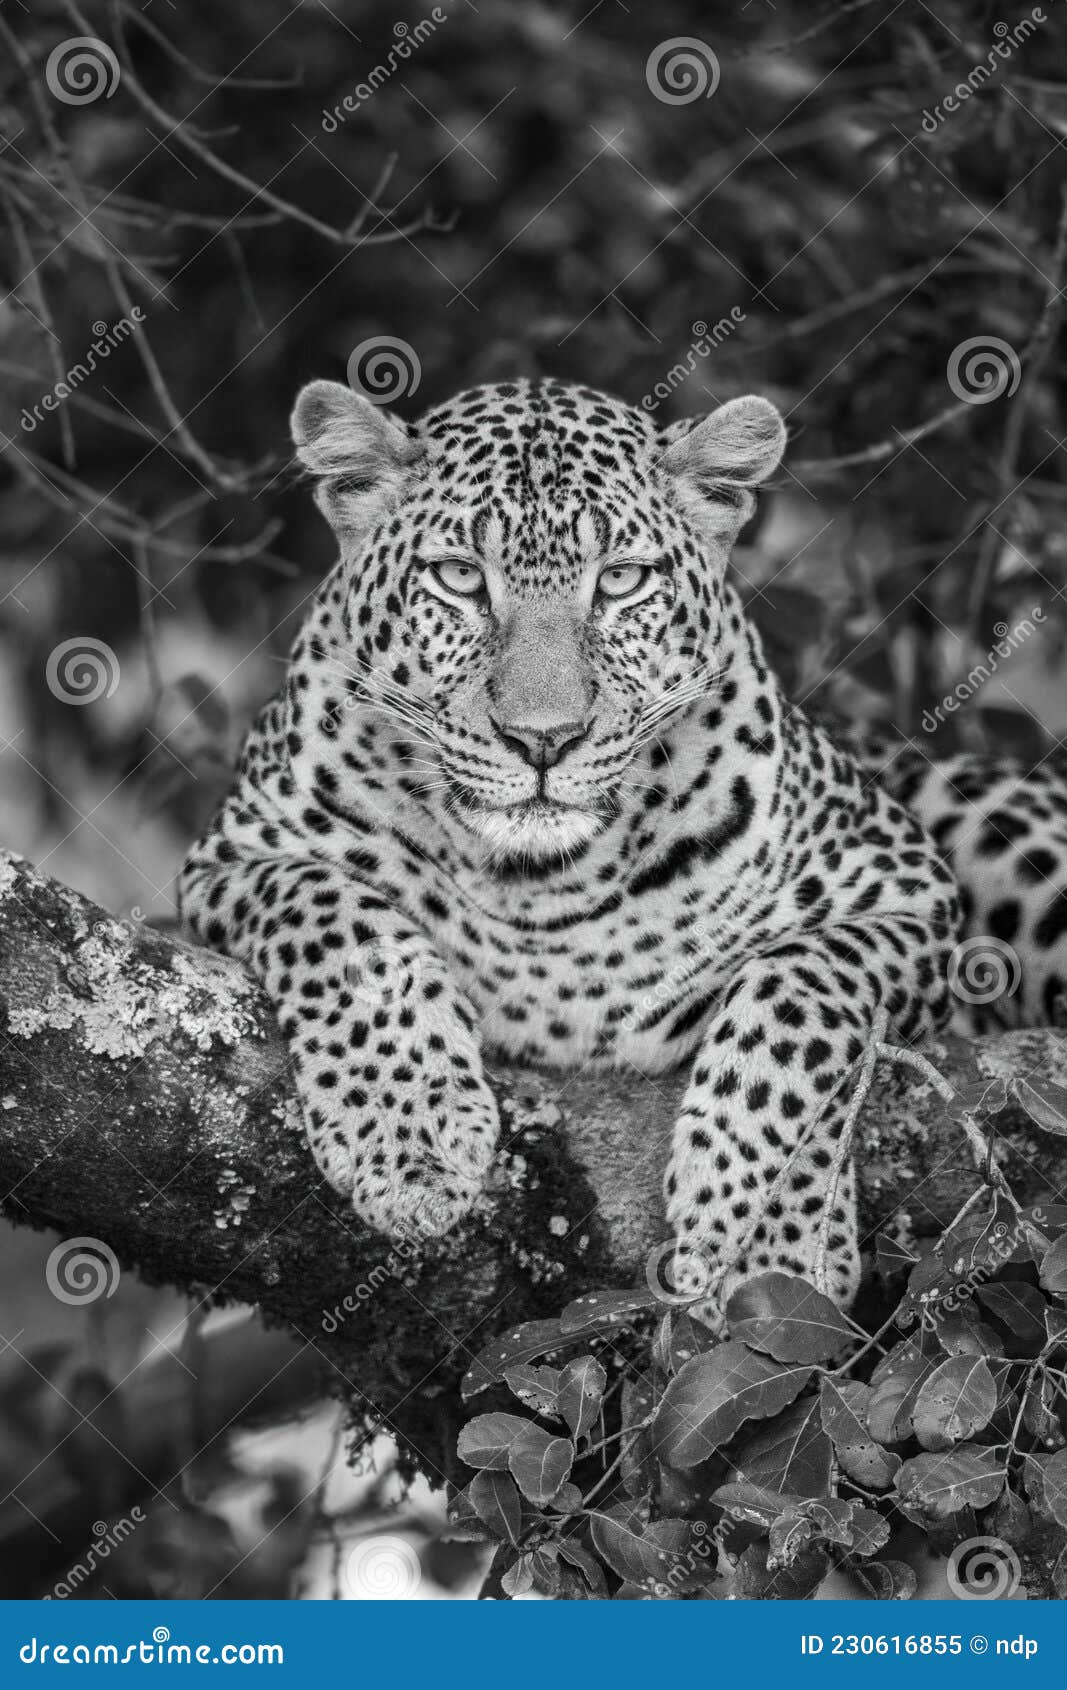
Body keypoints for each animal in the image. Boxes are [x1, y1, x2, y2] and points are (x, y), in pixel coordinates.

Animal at [178, 375, 1067, 1313]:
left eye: (621, 582)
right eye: (458, 578)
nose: (543, 739)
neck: (539, 886)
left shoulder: (906, 887)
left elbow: (800, 992)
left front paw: (763, 1247)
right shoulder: (232, 857)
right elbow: (339, 920)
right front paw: (411, 1138)